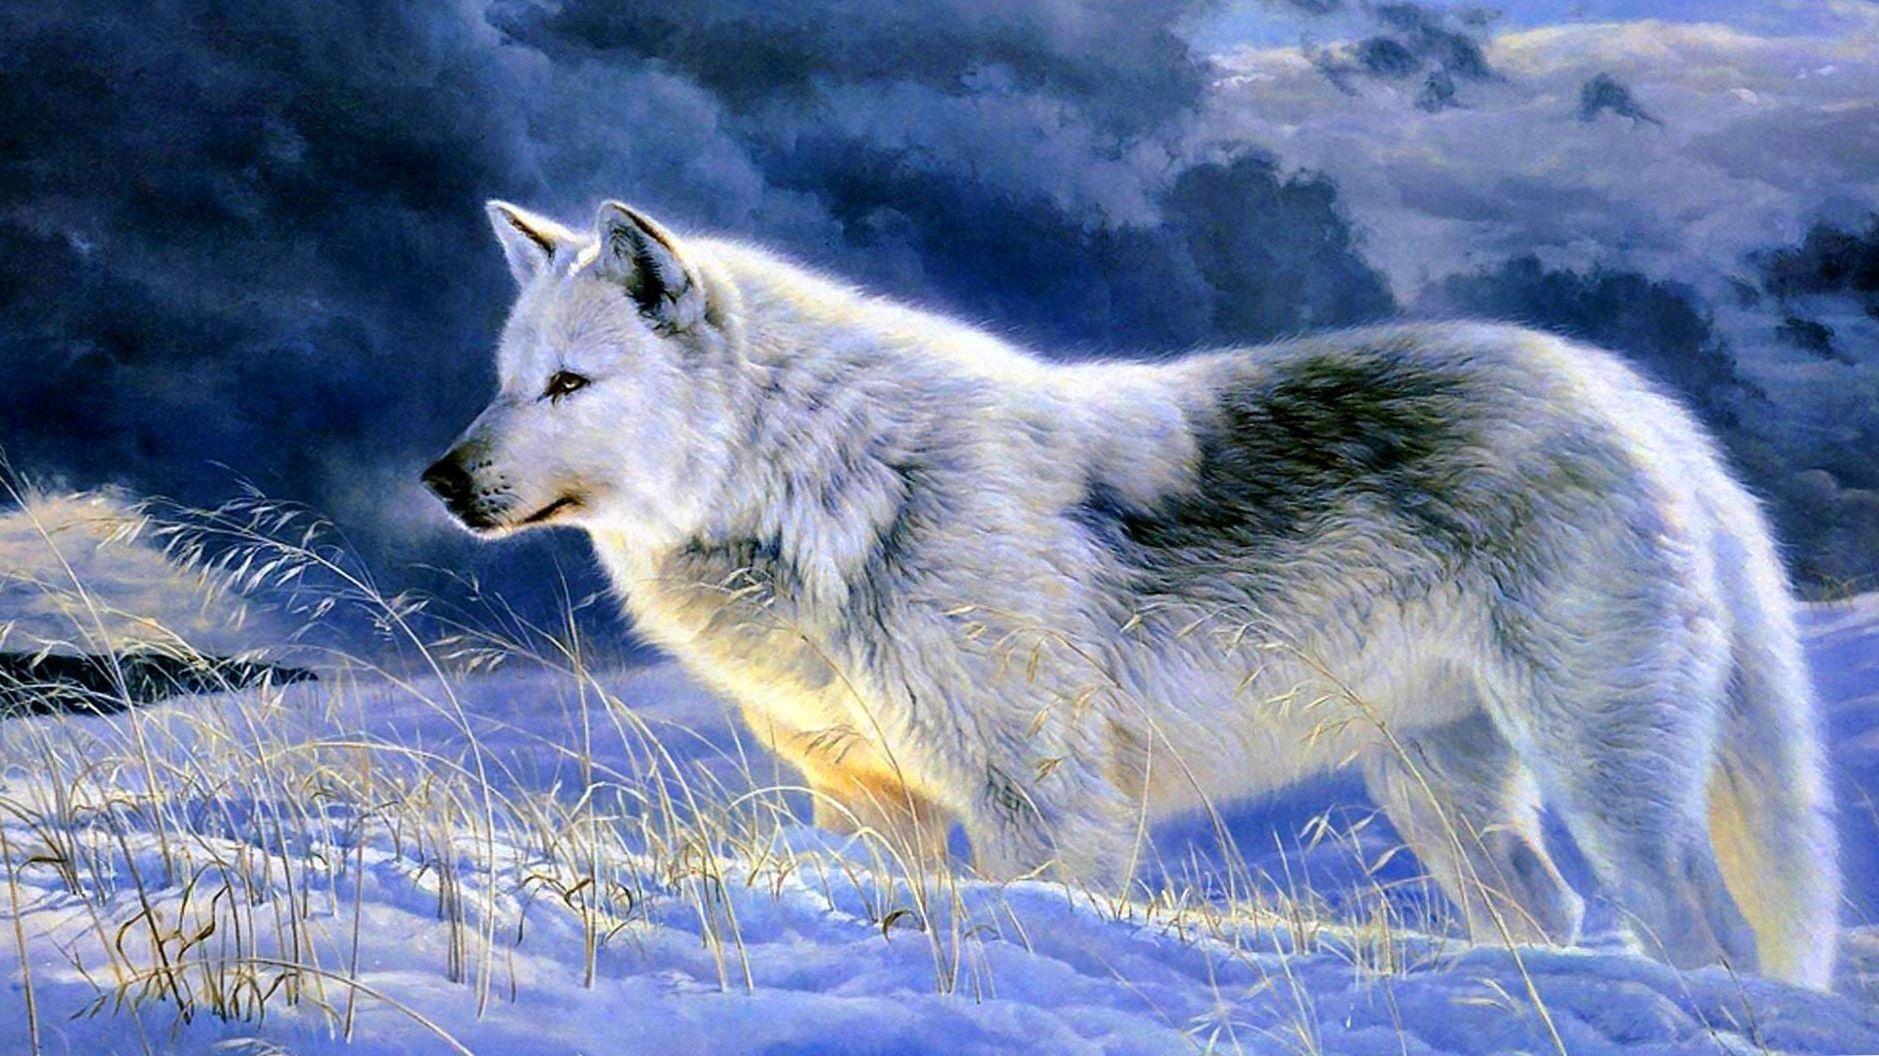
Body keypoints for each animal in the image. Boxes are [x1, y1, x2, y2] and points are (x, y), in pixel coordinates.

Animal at [424, 198, 1838, 987]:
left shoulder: (1050, 811)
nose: (439, 479)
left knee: (1701, 934)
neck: (824, 488)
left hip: (1606, 777)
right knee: (1544, 914)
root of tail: (1636, 398)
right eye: (503, 381)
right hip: (1440, 792)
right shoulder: (863, 803)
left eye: (570, 386)